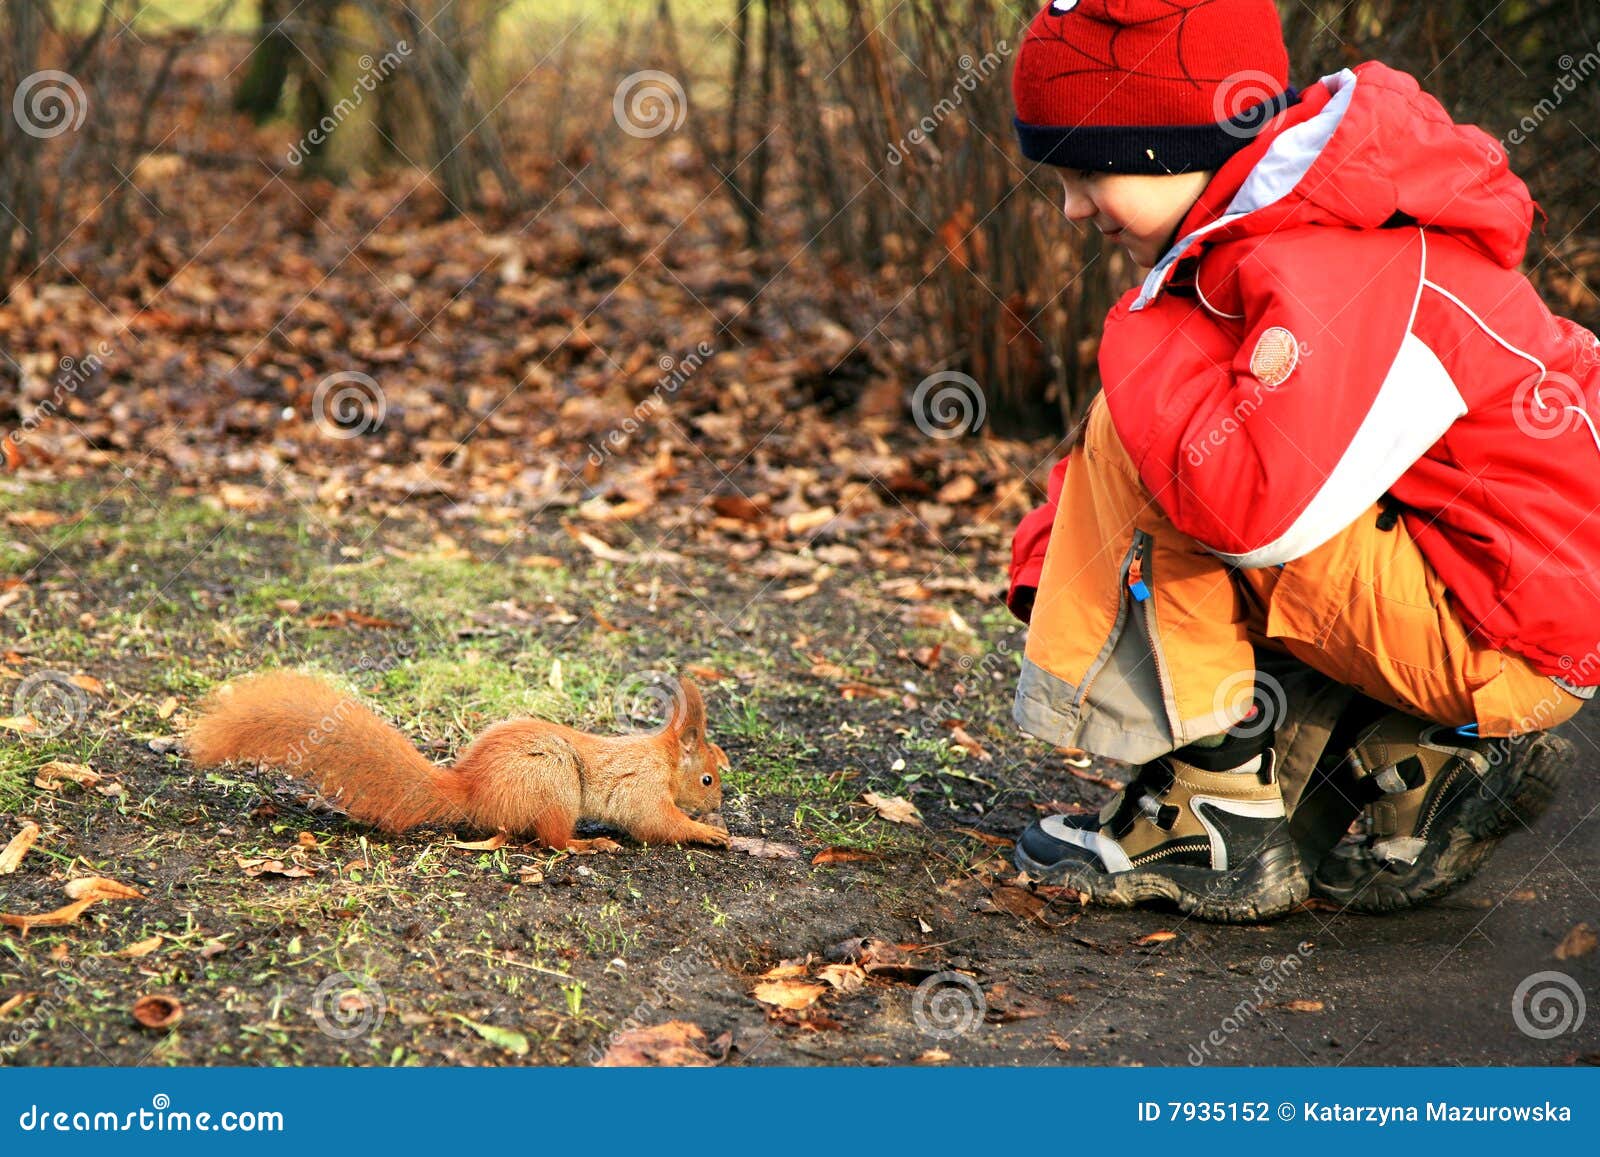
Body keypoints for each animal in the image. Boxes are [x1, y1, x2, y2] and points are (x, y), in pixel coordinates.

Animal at [185, 670, 731, 849]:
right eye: (707, 779)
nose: (716, 806)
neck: (663, 760)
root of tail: (472, 790)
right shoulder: (642, 788)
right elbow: (654, 822)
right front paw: (706, 832)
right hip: (553, 784)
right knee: (552, 841)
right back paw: (587, 845)